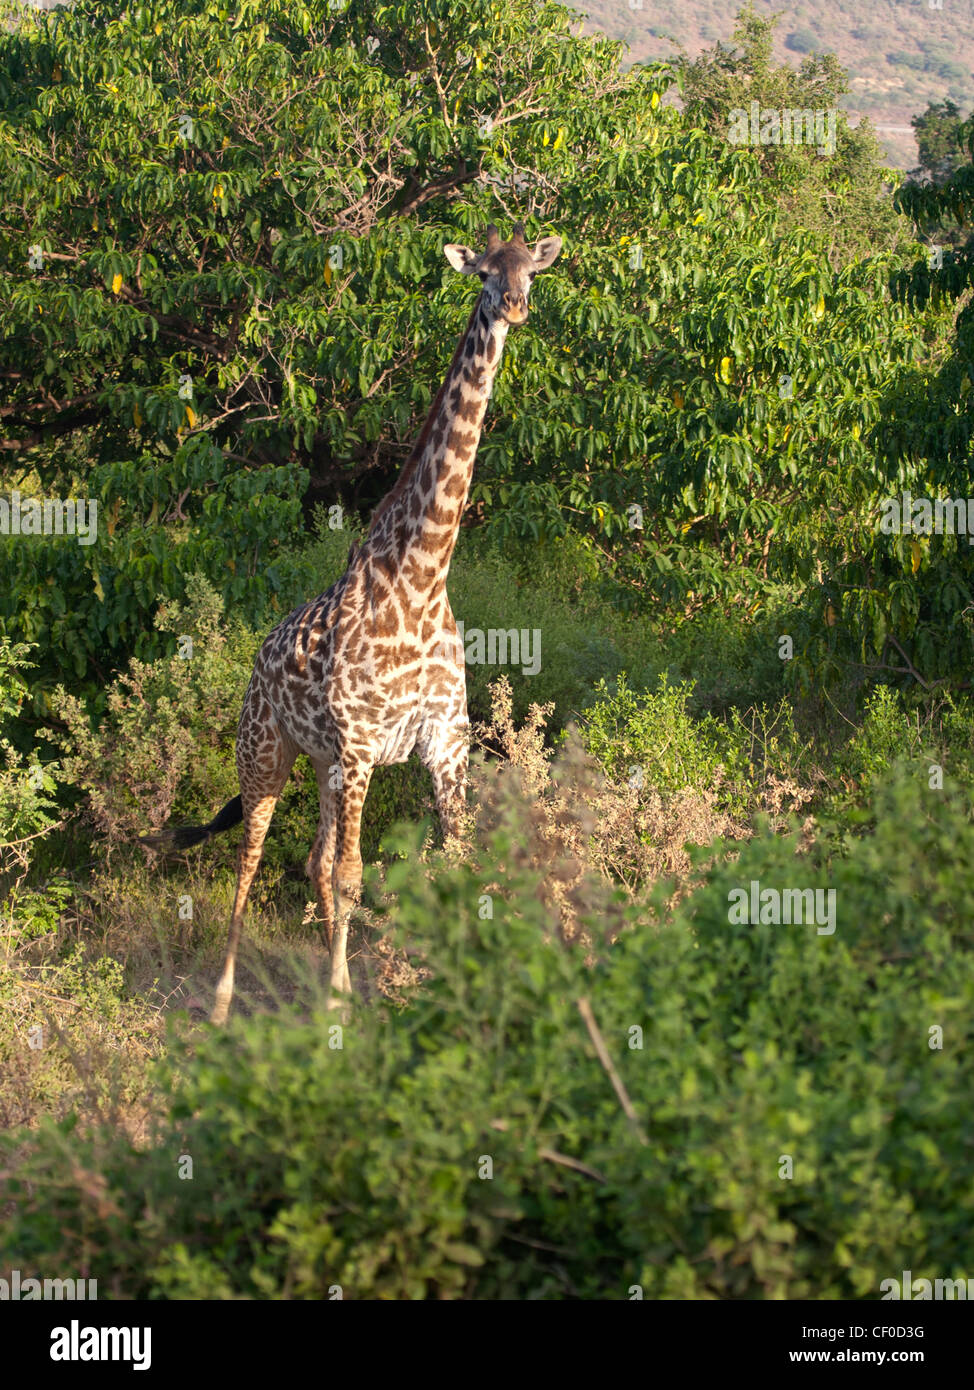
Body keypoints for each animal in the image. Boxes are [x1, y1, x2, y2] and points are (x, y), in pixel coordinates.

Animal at [142, 223, 562, 1024]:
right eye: (483, 273)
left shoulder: (443, 744)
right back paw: (224, 1000)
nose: (514, 308)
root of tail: (255, 660)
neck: (424, 577)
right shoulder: (366, 743)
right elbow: (353, 873)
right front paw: (340, 1004)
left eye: (534, 271)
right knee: (251, 859)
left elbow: (454, 862)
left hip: (326, 765)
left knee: (312, 856)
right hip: (266, 752)